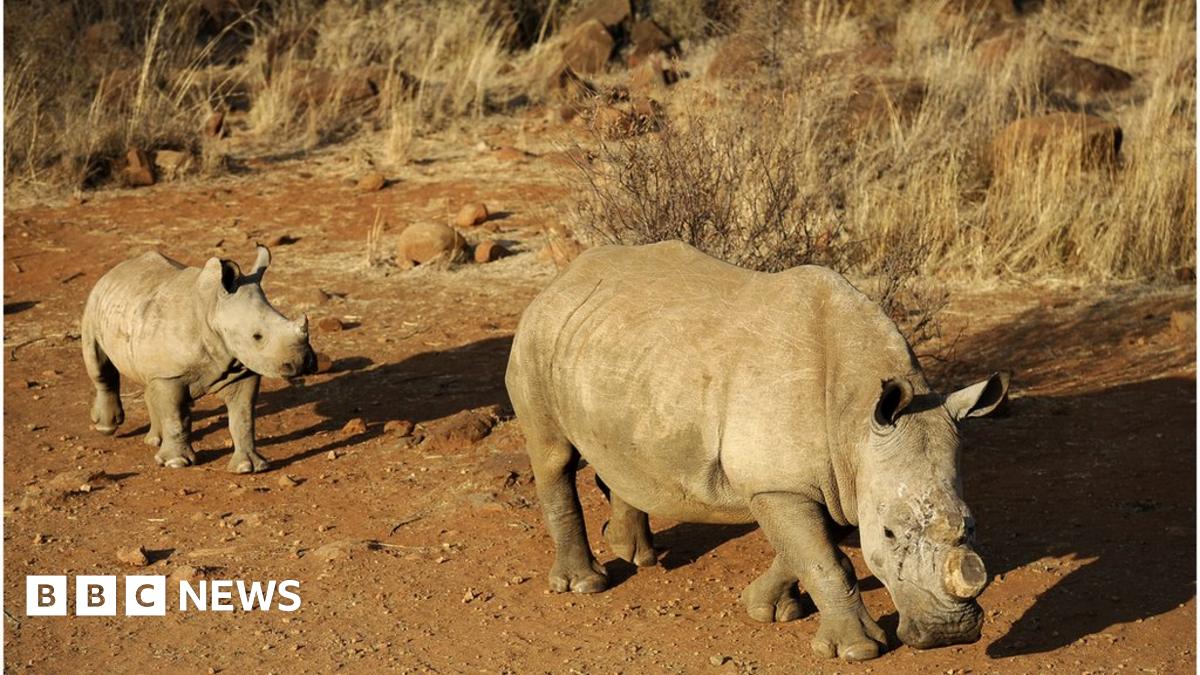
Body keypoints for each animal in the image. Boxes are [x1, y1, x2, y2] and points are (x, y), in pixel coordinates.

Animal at [81, 245, 317, 472]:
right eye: (257, 336)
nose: (302, 363)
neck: (213, 308)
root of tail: (115, 270)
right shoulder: (171, 374)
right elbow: (176, 417)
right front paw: (176, 463)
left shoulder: (242, 368)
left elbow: (243, 418)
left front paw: (249, 466)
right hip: (94, 304)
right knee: (99, 365)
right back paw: (107, 427)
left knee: (149, 379)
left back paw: (155, 441)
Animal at [505, 241, 1009, 660]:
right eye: (887, 534)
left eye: (972, 525)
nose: (950, 634)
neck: (856, 416)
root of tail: (562, 278)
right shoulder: (781, 484)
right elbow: (826, 560)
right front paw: (856, 651)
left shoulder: (824, 477)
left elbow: (807, 549)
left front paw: (767, 609)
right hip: (538, 336)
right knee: (553, 456)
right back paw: (586, 584)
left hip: (618, 353)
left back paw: (636, 555)